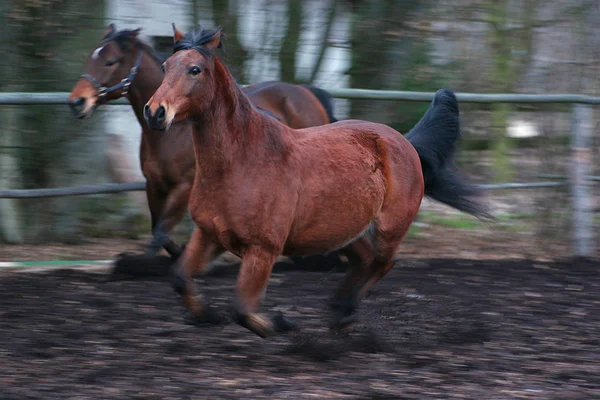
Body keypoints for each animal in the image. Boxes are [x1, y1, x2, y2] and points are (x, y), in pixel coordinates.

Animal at [67, 23, 342, 274]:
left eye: (110, 62)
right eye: (92, 56)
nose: (77, 102)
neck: (174, 132)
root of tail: (306, 92)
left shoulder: (184, 186)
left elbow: (161, 232)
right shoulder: (154, 185)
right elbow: (159, 230)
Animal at [144, 25, 492, 338]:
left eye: (195, 69)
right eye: (164, 66)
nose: (155, 112)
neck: (243, 161)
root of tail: (404, 142)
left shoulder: (262, 250)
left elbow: (243, 309)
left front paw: (281, 324)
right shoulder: (209, 234)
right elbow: (179, 277)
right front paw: (206, 315)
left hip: (390, 227)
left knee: (383, 263)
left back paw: (344, 311)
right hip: (344, 229)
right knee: (366, 260)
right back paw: (339, 314)